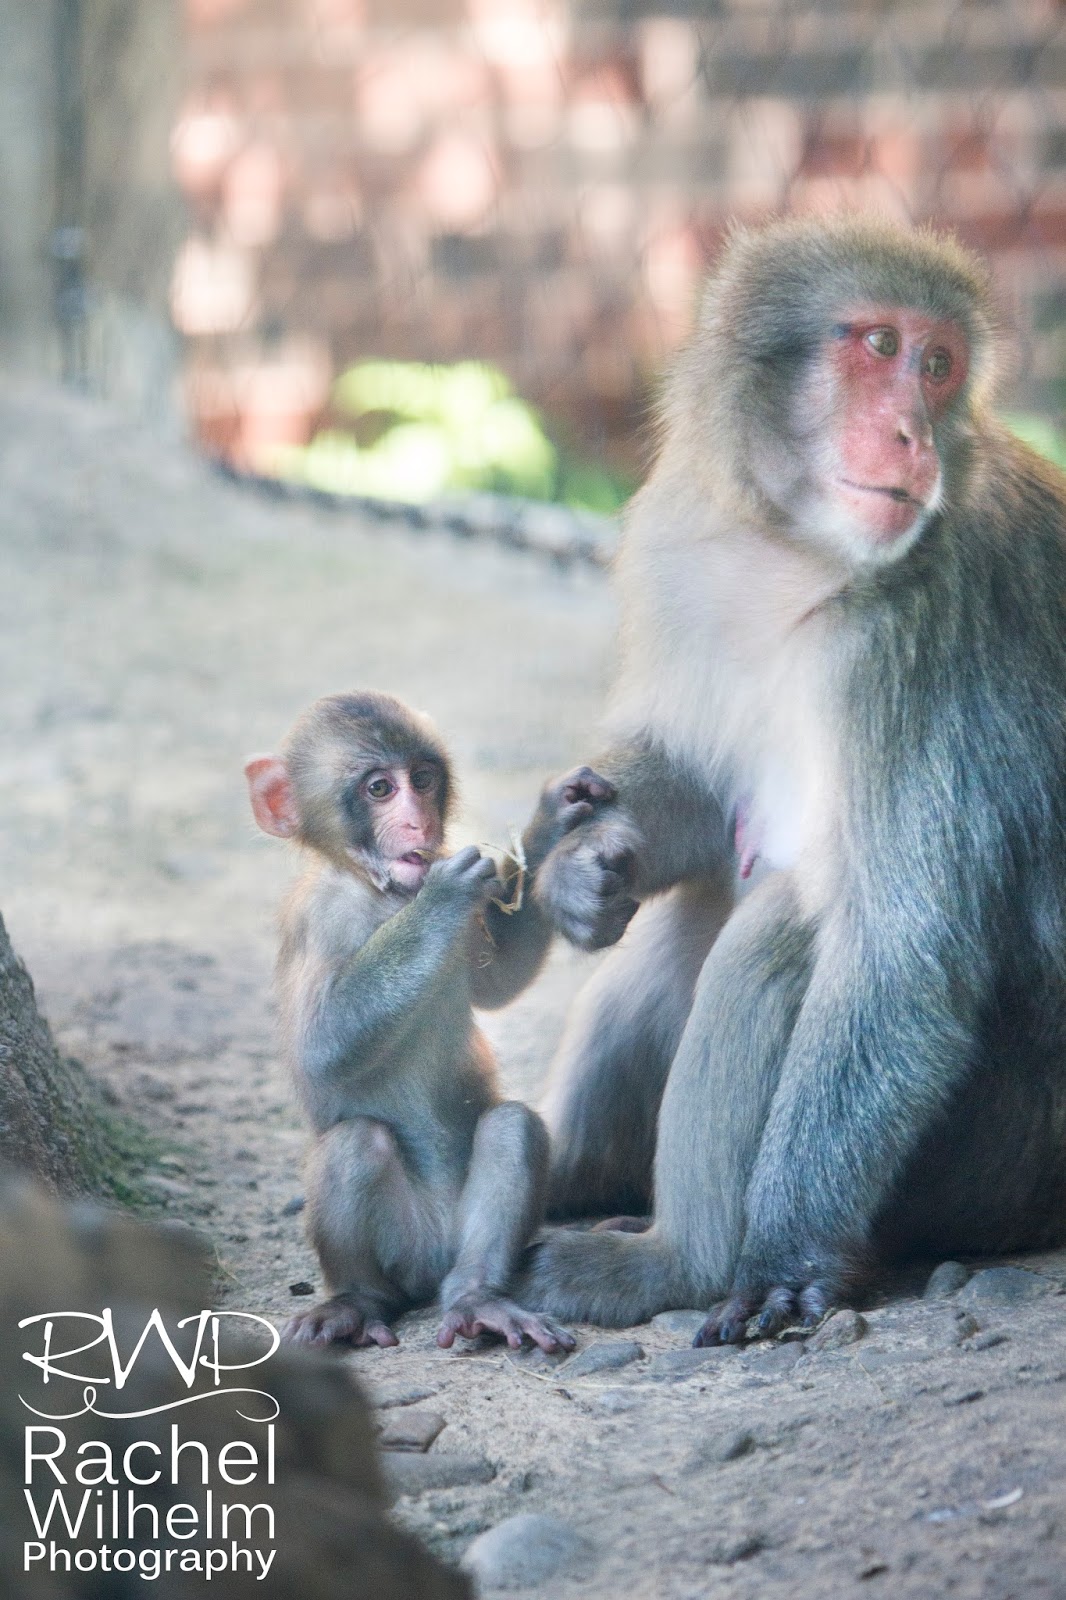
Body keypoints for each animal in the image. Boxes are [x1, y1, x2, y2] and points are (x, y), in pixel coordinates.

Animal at [245, 689, 603, 1351]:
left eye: (425, 779)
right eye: (380, 789)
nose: (422, 826)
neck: (382, 894)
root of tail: (433, 1260)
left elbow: (497, 982)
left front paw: (553, 816)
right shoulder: (320, 917)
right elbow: (321, 1050)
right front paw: (443, 894)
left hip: (456, 1245)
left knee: (510, 1127)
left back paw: (478, 1297)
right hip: (401, 1248)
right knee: (355, 1144)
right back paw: (357, 1301)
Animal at [520, 213, 1066, 1344]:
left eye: (939, 367)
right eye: (880, 346)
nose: (911, 436)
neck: (794, 556)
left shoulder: (917, 642)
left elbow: (901, 958)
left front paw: (779, 1260)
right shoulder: (679, 550)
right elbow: (694, 793)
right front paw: (575, 864)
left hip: (991, 1155)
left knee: (783, 926)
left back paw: (674, 1263)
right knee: (696, 915)